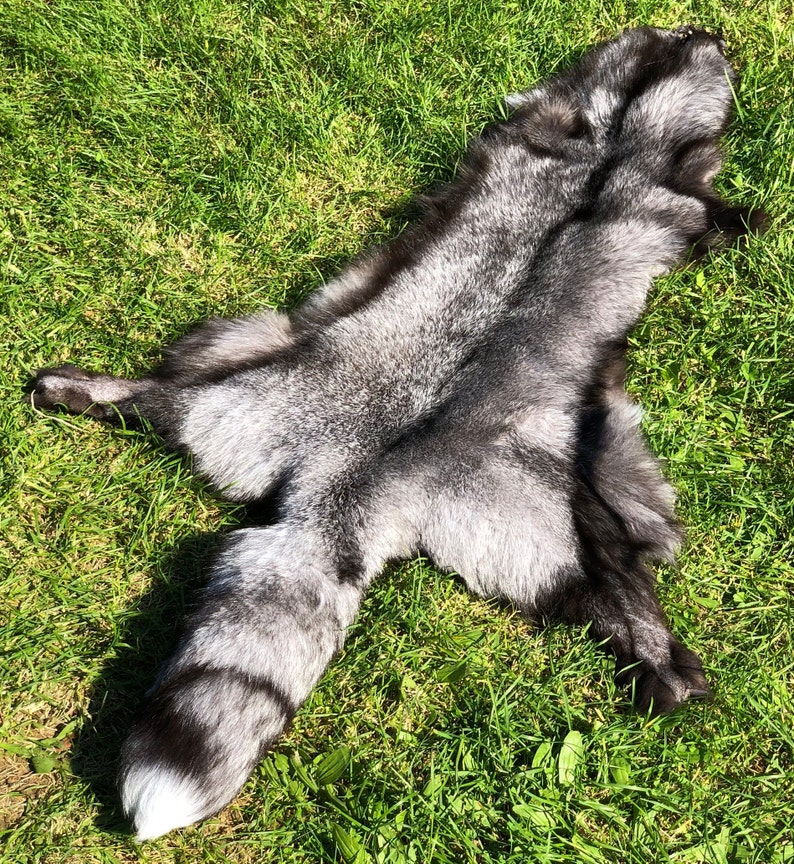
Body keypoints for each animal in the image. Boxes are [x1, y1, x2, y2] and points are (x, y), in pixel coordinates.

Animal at [31, 26, 763, 840]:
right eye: (686, 42)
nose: (712, 32)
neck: (621, 137)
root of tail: (352, 477)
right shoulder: (670, 188)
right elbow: (717, 212)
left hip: (239, 389)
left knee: (160, 403)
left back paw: (83, 391)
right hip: (559, 523)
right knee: (622, 593)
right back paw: (671, 673)